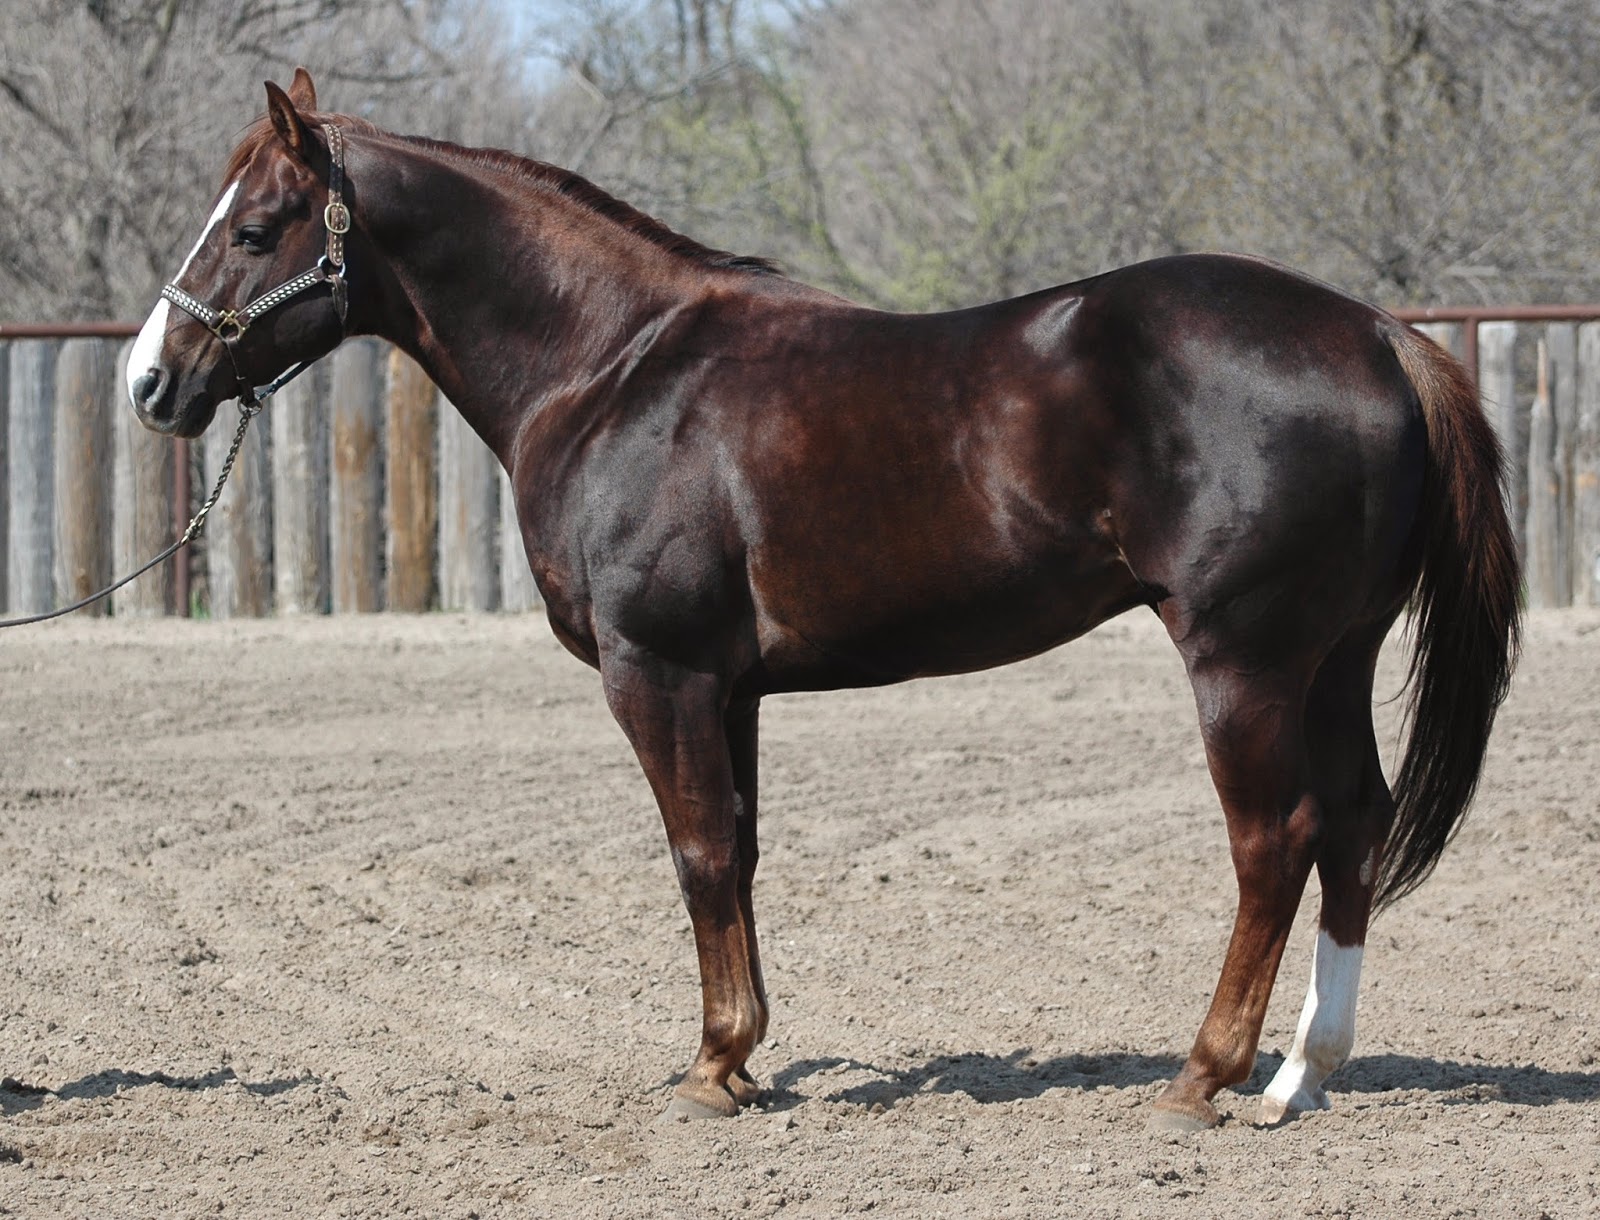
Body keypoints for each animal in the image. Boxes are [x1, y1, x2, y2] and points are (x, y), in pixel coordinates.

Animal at [125, 70, 1519, 1131]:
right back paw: (1297, 1077)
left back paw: (1201, 1075)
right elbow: (738, 850)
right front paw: (742, 1056)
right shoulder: (729, 685)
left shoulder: (659, 670)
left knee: (1273, 839)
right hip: (1333, 658)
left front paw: (709, 1069)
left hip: (1245, 661)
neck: (613, 369)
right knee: (1354, 824)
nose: (150, 382)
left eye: (253, 230)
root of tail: (1376, 333)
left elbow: (695, 854)